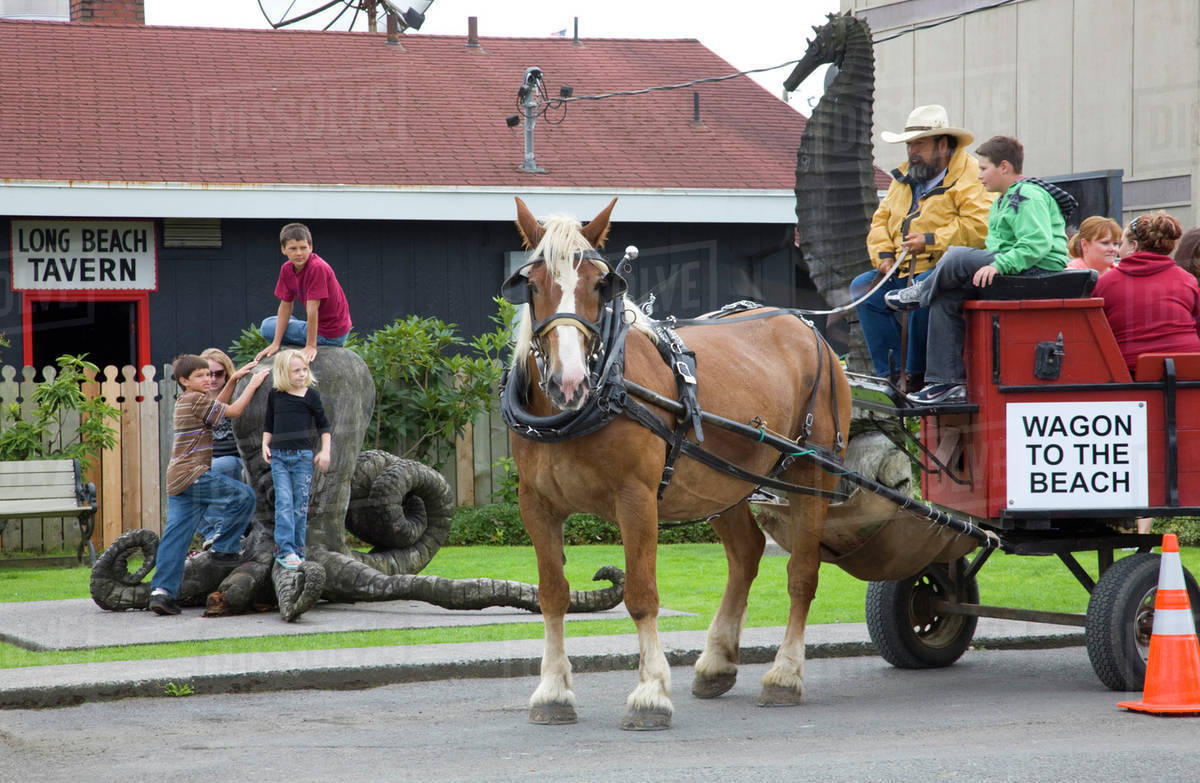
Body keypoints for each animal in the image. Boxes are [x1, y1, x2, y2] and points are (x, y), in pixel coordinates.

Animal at [501, 197, 852, 730]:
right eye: (534, 285)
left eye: (600, 285)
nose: (570, 381)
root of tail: (806, 328)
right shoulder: (535, 504)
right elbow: (552, 593)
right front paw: (553, 691)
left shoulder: (636, 499)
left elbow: (642, 595)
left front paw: (650, 693)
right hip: (723, 481)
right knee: (747, 554)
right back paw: (717, 662)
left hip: (814, 470)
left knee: (802, 574)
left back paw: (785, 674)